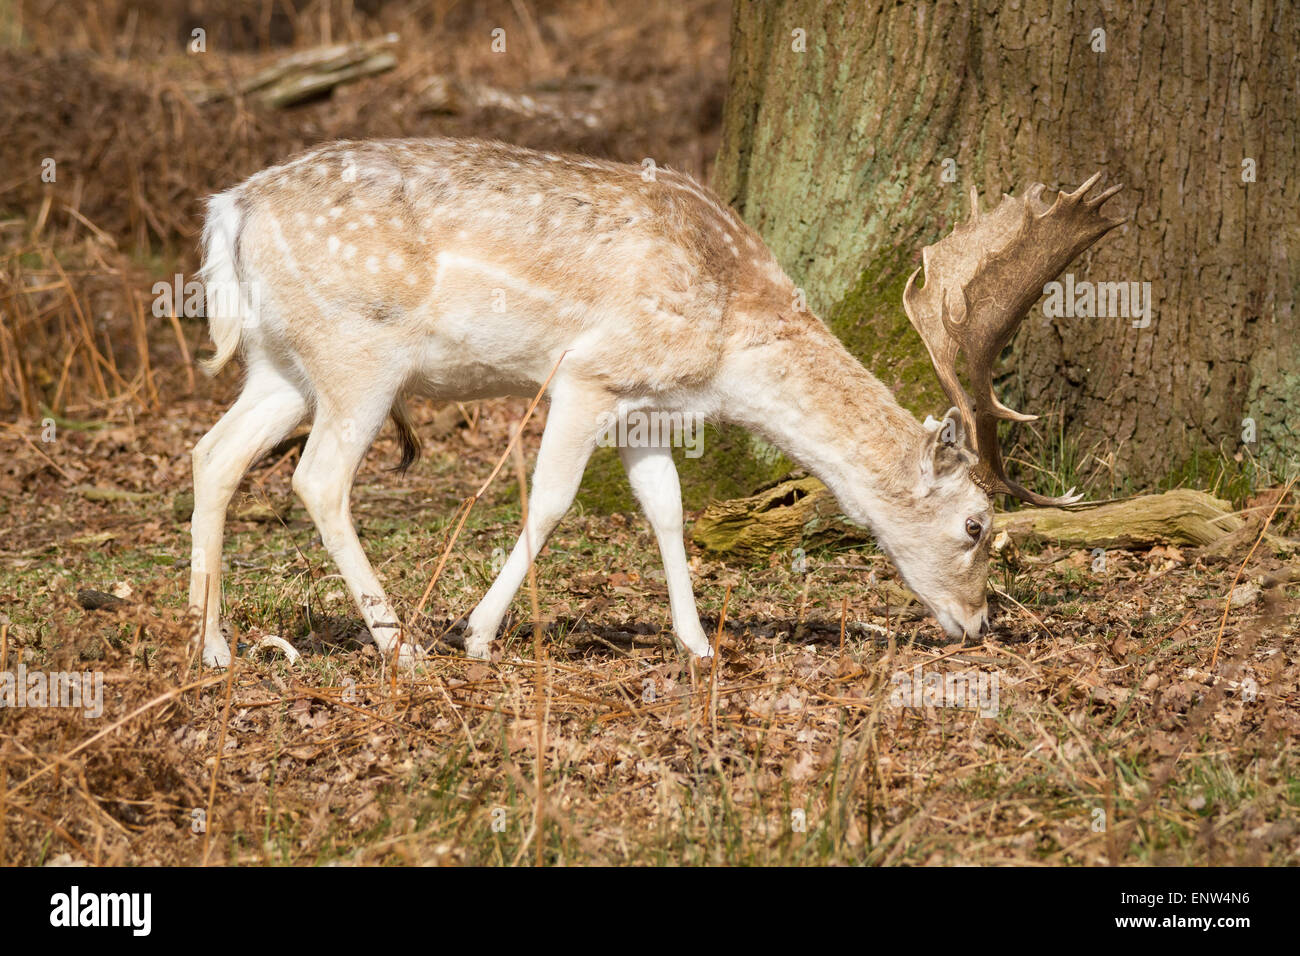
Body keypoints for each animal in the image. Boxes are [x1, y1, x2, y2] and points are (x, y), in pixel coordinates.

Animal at [189, 137, 1123, 667]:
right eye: (976, 525)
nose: (978, 622)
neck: (726, 338)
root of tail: (229, 208)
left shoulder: (646, 405)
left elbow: (667, 509)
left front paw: (698, 644)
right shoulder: (589, 372)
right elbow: (551, 499)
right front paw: (480, 636)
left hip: (281, 363)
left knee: (213, 454)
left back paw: (215, 647)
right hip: (360, 352)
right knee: (317, 479)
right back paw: (402, 644)